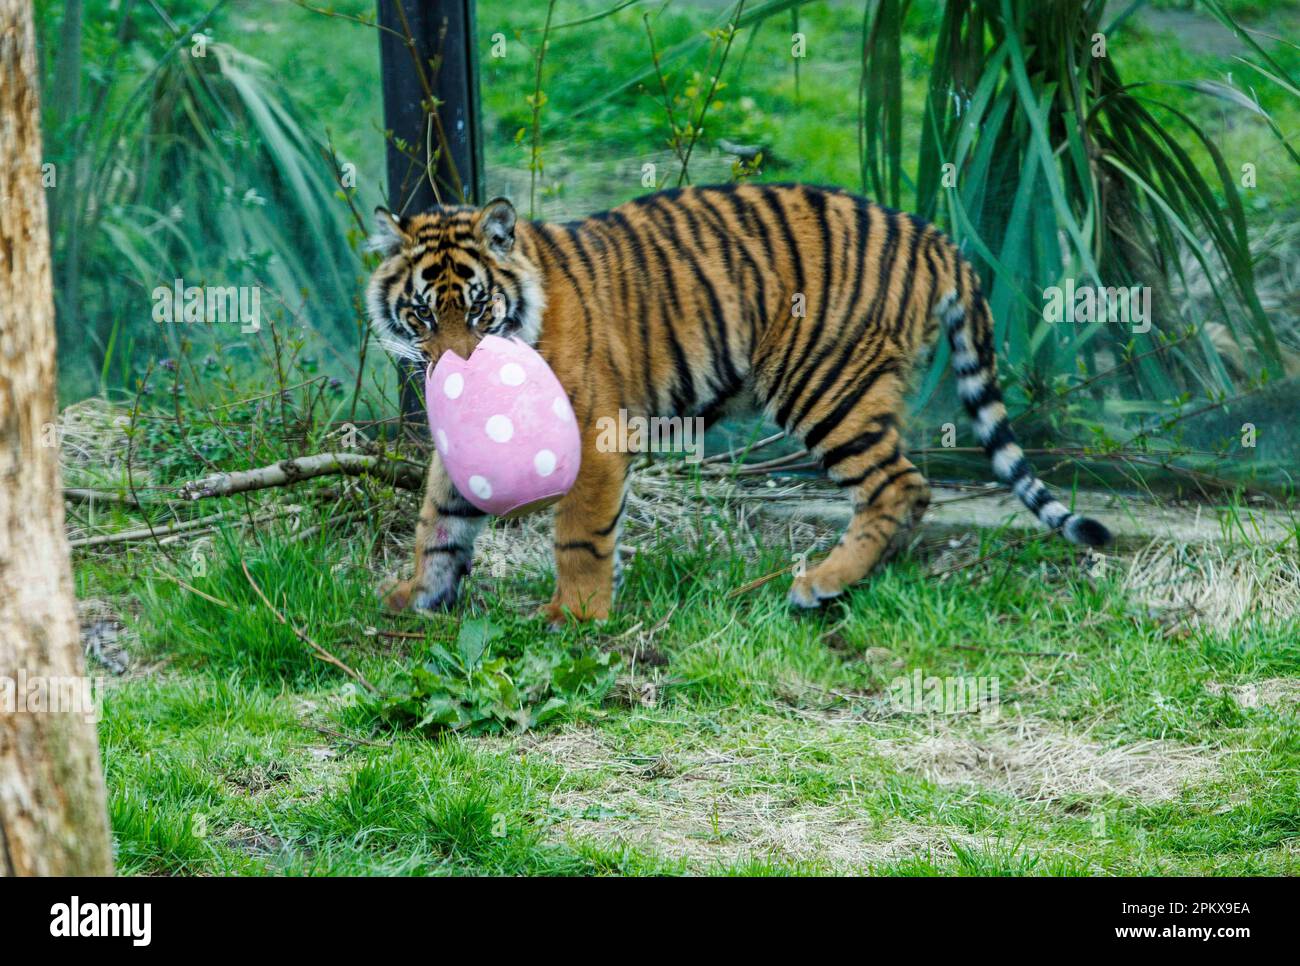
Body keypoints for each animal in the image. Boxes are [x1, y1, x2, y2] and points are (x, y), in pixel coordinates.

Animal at [367, 182, 1111, 624]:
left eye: (479, 309)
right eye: (423, 314)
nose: (456, 372)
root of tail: (933, 236)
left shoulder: (598, 434)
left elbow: (578, 533)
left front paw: (573, 615)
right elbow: (439, 518)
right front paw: (416, 596)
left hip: (825, 386)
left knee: (900, 484)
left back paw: (825, 581)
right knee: (909, 490)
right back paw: (868, 572)